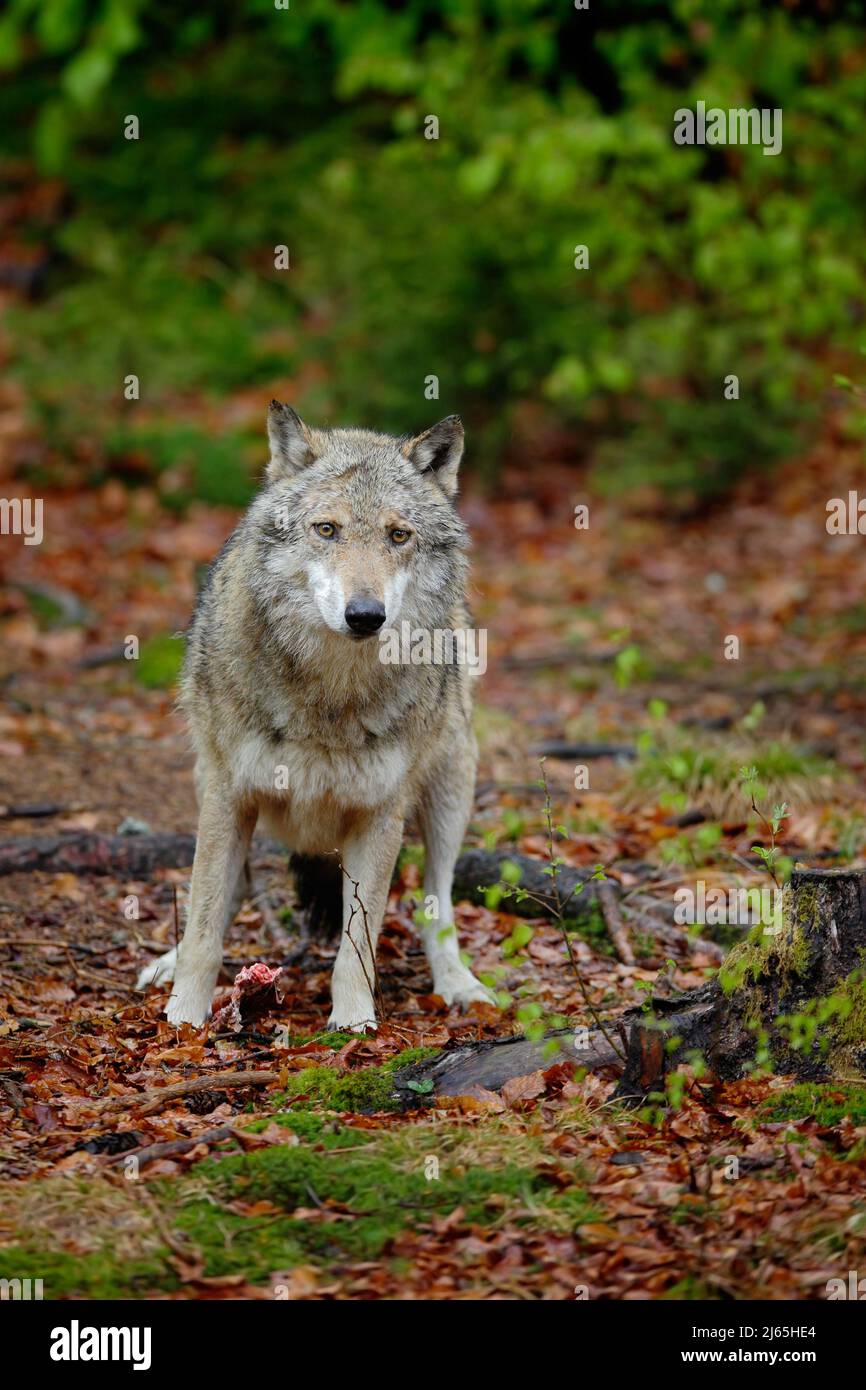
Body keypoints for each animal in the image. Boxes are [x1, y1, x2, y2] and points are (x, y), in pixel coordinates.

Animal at [137, 403, 494, 1031]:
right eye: (326, 529)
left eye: (398, 535)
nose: (365, 615)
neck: (330, 693)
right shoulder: (230, 792)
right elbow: (205, 927)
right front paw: (183, 1020)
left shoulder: (380, 813)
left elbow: (359, 946)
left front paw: (353, 1025)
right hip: (208, 783)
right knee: (225, 895)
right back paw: (167, 965)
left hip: (452, 790)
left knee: (437, 905)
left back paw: (457, 984)